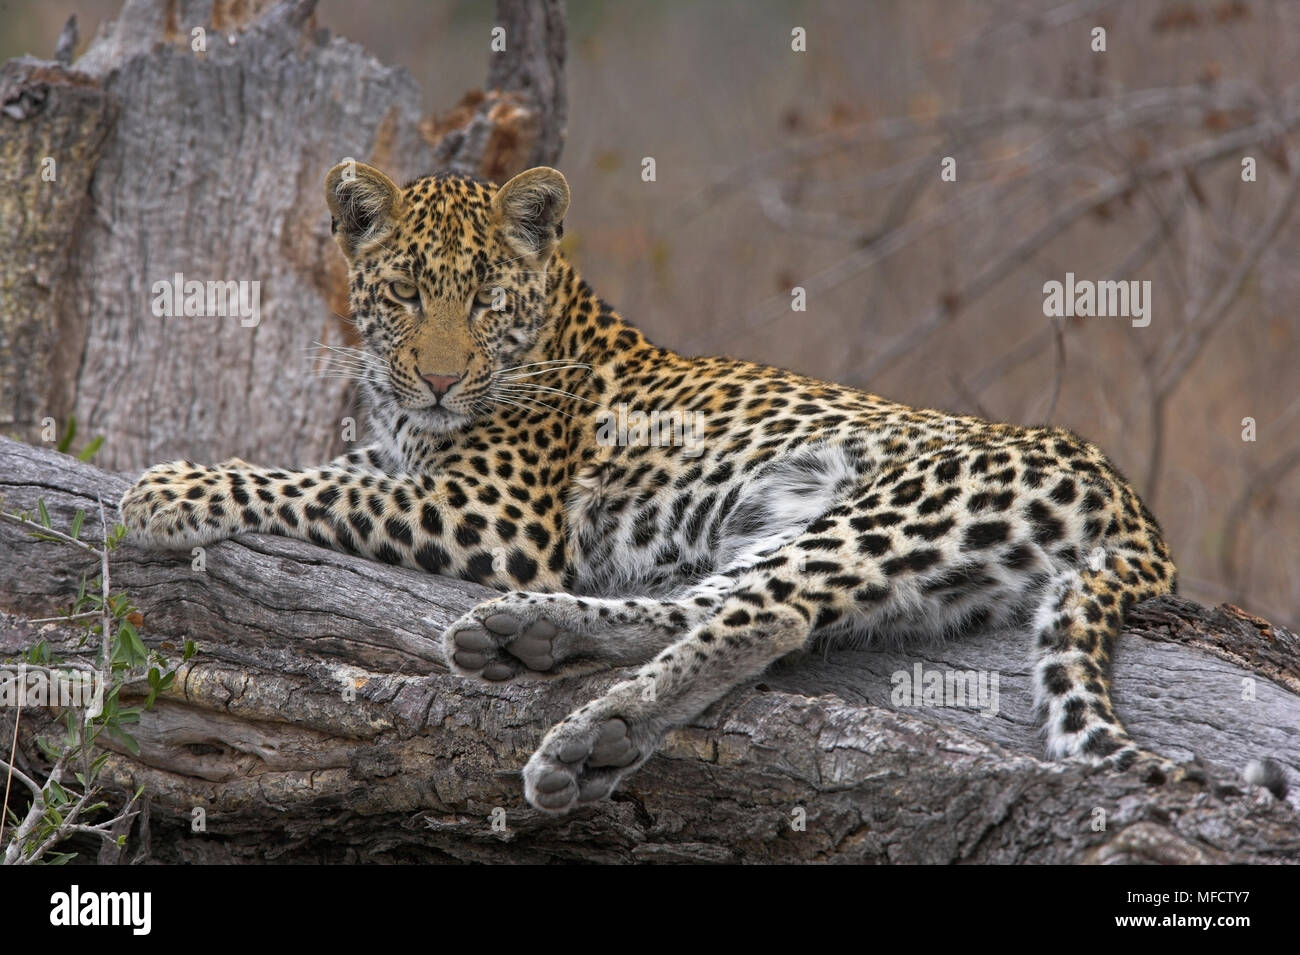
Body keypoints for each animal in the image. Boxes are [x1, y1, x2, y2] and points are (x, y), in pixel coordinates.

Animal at [121, 160, 1187, 814]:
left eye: (485, 299)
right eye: (409, 294)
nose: (440, 379)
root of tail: (1131, 503)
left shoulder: (489, 516)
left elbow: (304, 486)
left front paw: (169, 489)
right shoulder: (402, 461)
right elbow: (325, 467)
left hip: (888, 509)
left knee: (764, 617)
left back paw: (592, 733)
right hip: (824, 530)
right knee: (707, 604)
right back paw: (527, 641)